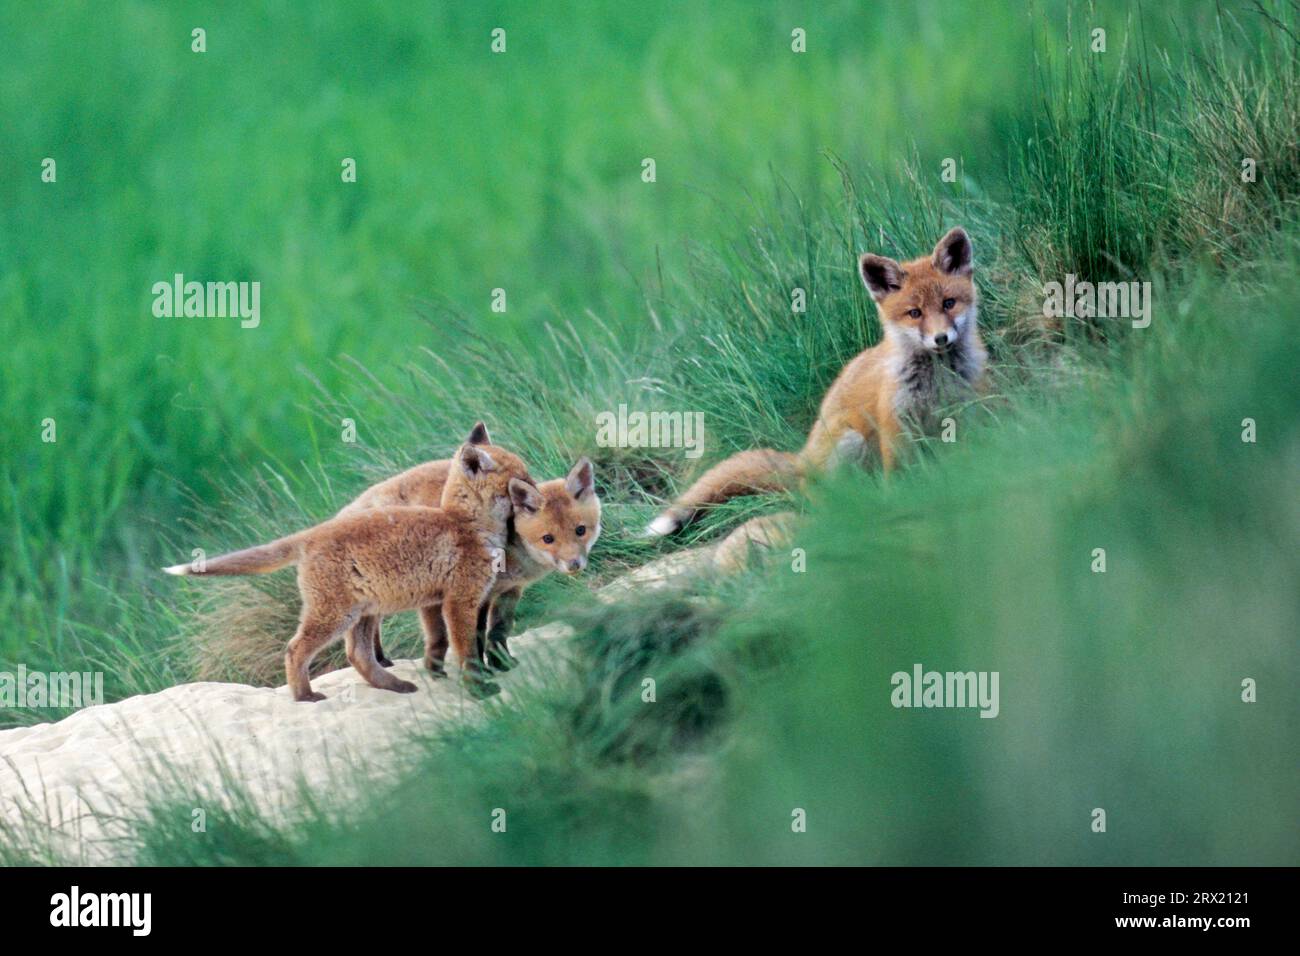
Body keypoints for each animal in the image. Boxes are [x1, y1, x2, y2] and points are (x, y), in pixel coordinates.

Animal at [164, 434, 534, 701]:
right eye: (520, 478)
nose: (537, 493)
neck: (467, 526)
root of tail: (313, 533)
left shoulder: (441, 601)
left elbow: (444, 643)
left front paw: (446, 673)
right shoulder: (459, 601)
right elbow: (467, 650)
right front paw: (479, 690)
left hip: (363, 613)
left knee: (357, 655)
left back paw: (391, 685)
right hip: (335, 615)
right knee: (294, 650)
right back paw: (305, 696)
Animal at [338, 425, 601, 671]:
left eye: (580, 530)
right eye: (548, 539)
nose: (574, 565)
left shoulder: (510, 591)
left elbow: (499, 629)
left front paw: (501, 662)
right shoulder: (475, 592)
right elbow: (476, 635)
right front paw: (484, 669)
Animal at [647, 227, 986, 536]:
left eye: (949, 303)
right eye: (914, 313)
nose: (940, 338)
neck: (936, 380)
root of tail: (803, 459)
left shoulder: (964, 412)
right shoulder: (894, 423)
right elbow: (901, 477)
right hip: (851, 439)